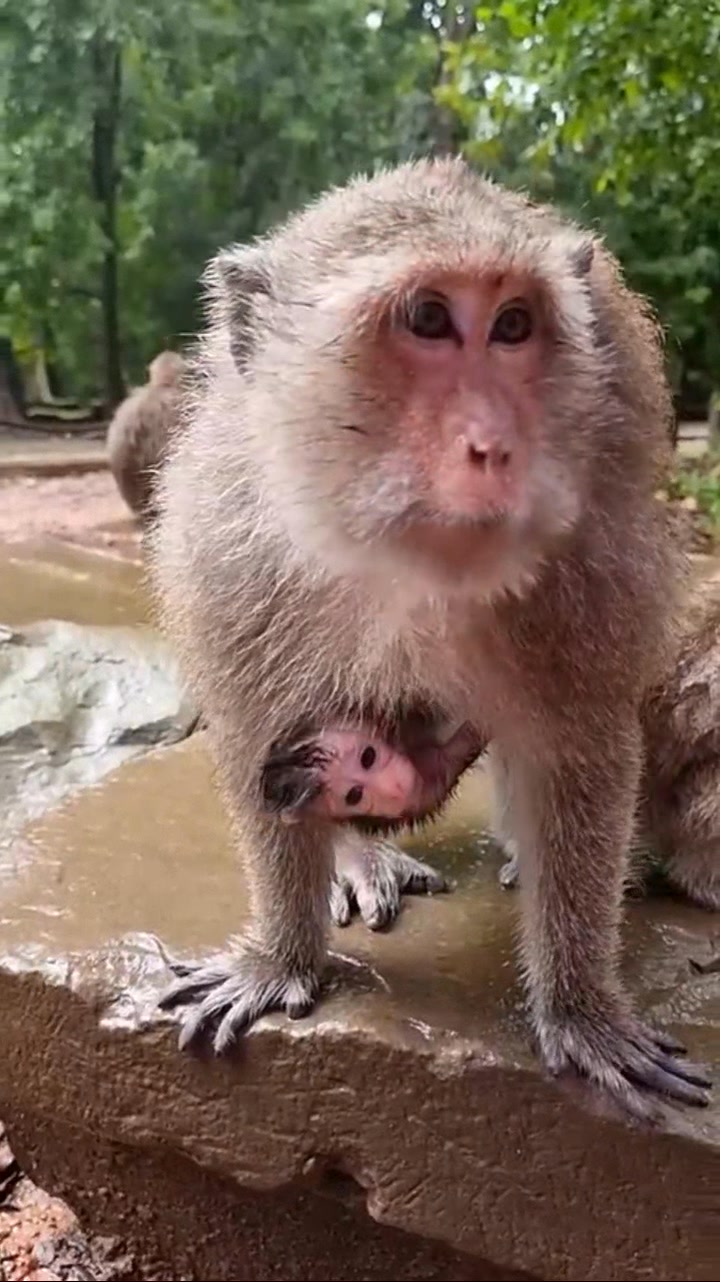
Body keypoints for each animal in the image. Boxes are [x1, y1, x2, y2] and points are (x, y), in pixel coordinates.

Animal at [151, 156, 711, 1117]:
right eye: (428, 320)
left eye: (515, 325)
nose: (494, 444)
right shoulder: (232, 559)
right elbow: (258, 738)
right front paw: (281, 956)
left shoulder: (592, 578)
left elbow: (581, 752)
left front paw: (579, 1005)